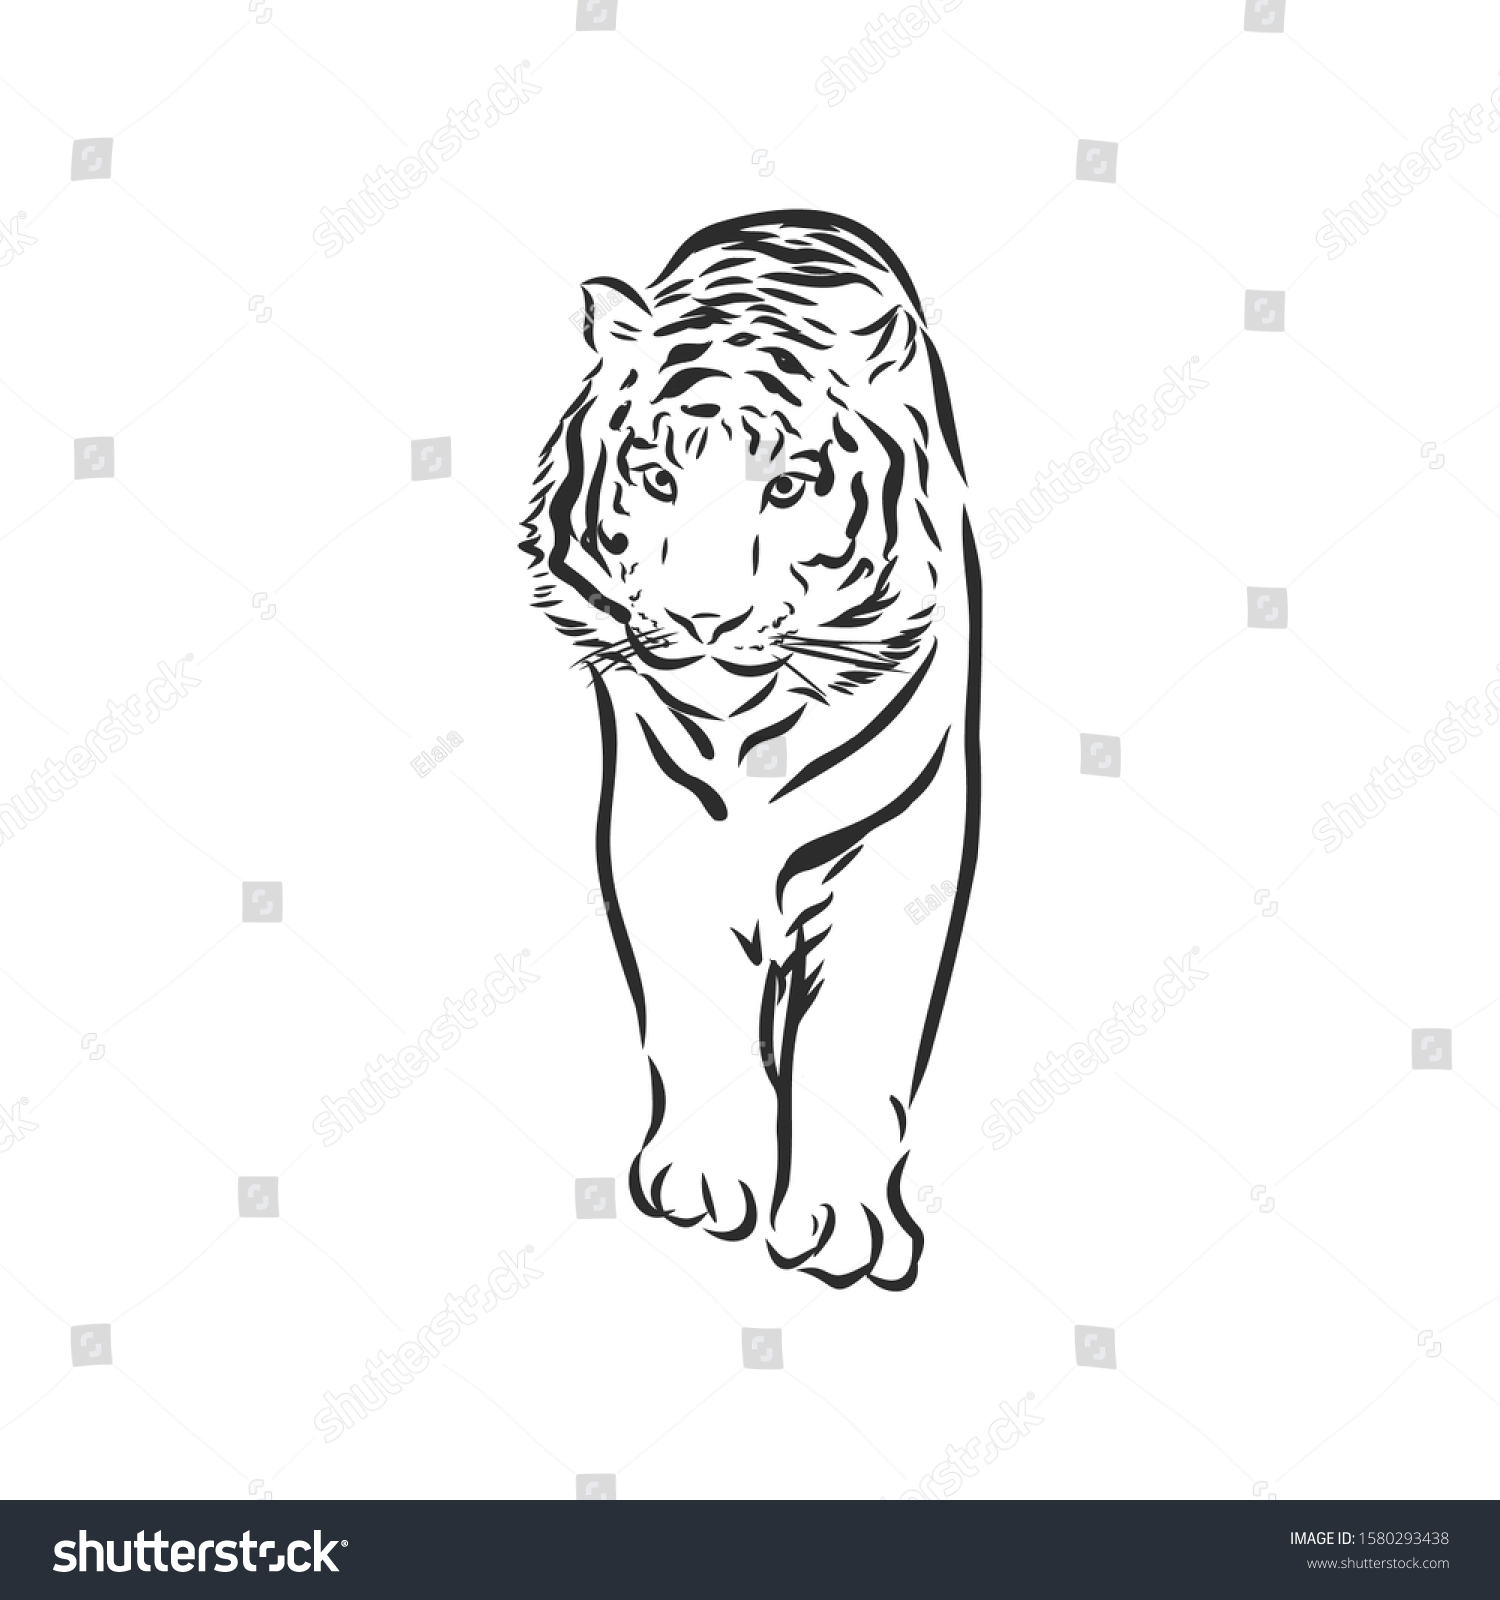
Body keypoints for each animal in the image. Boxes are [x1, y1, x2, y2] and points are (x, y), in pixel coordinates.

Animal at [519, 210, 981, 1289]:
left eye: (788, 486)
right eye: (657, 480)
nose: (704, 618)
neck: (748, 745)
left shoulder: (891, 842)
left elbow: (859, 1037)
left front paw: (845, 1224)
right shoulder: (662, 830)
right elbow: (689, 1011)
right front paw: (702, 1182)